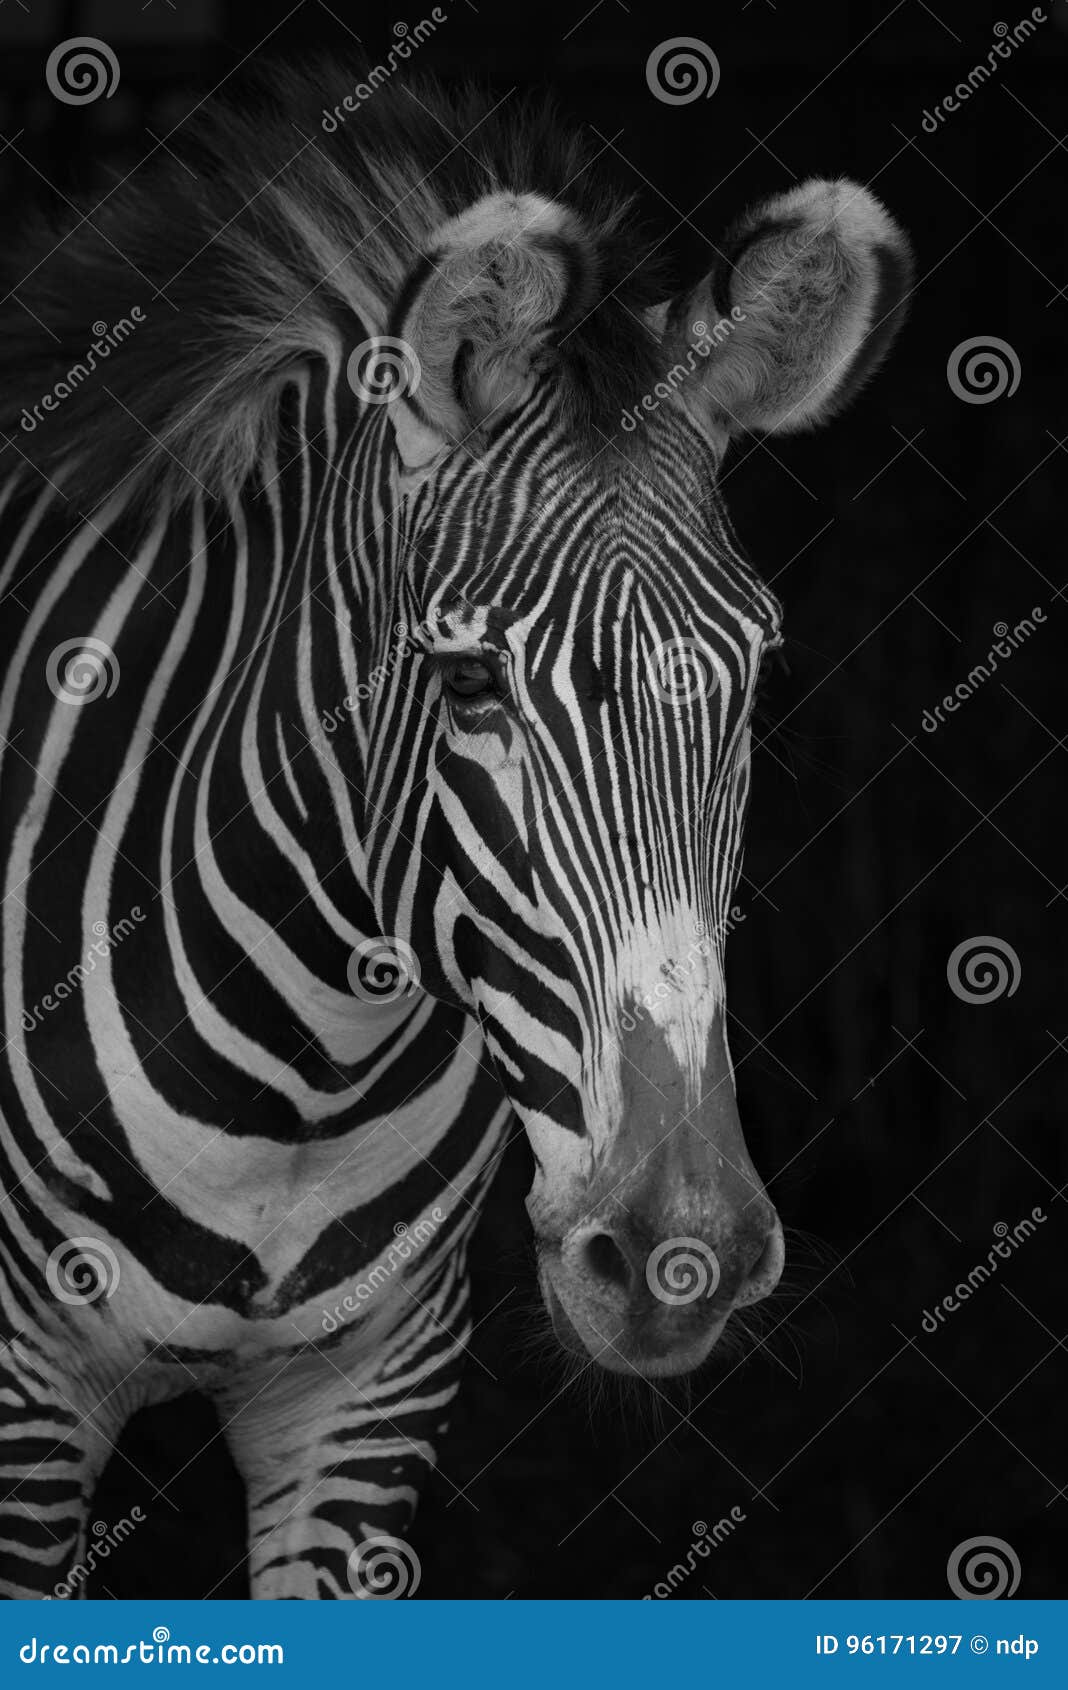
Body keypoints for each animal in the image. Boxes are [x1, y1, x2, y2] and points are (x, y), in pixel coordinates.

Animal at [0, 63, 911, 1599]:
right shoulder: (23, 1391)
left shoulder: (373, 1393)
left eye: (751, 677)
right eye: (473, 683)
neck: (304, 1082)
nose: (677, 1255)